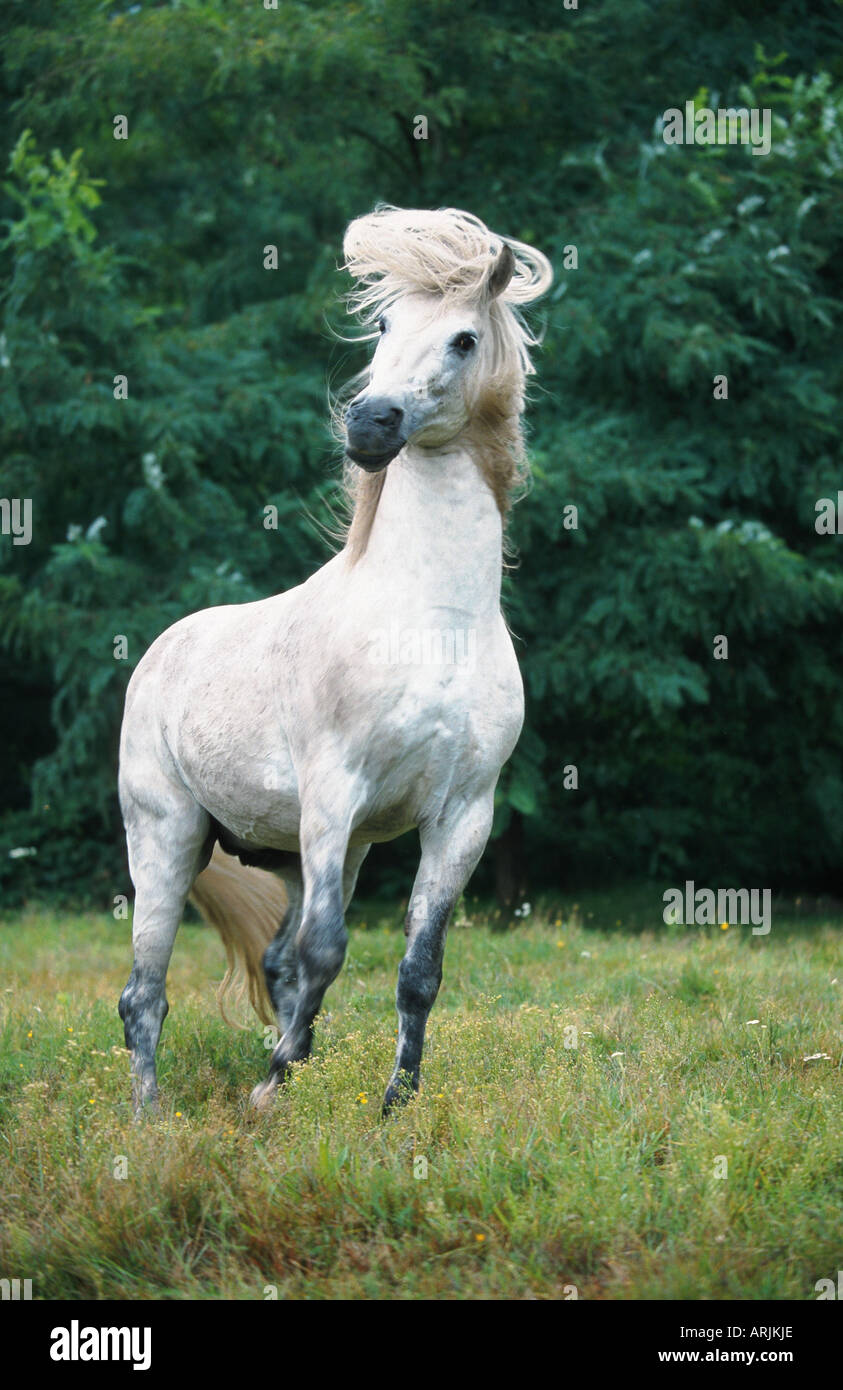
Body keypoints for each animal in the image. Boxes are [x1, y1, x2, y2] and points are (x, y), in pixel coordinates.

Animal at [117, 206, 552, 1116]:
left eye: (463, 338)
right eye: (382, 325)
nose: (370, 423)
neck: (432, 625)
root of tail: (160, 653)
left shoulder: (461, 817)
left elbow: (417, 969)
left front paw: (395, 1103)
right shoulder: (332, 794)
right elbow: (326, 951)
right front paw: (267, 1091)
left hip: (322, 850)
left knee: (272, 963)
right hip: (168, 836)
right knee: (145, 992)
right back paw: (149, 1115)